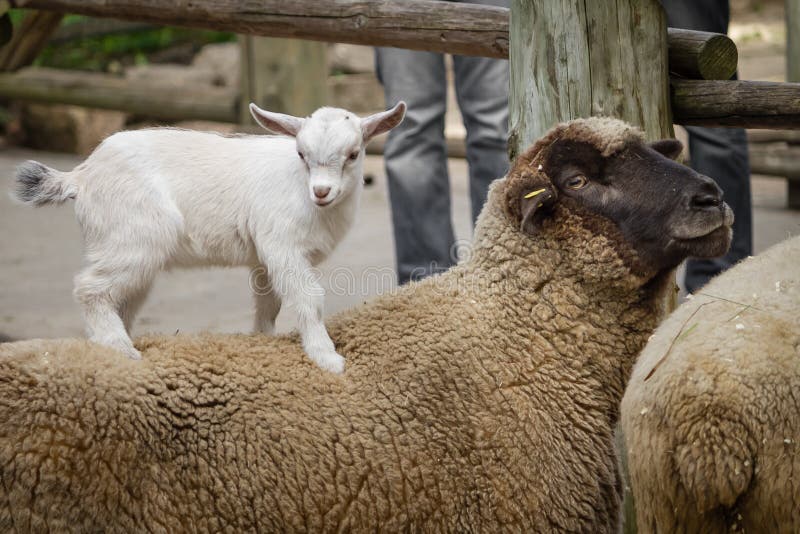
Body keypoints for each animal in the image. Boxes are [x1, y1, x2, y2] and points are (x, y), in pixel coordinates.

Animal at [11, 102, 406, 373]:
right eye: (301, 153)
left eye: (353, 154)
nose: (321, 192)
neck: (301, 189)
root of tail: (80, 176)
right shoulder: (283, 248)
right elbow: (309, 297)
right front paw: (327, 358)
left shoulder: (264, 259)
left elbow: (268, 304)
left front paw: (262, 341)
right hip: (134, 238)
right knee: (89, 288)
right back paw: (123, 350)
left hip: (127, 250)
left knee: (120, 300)